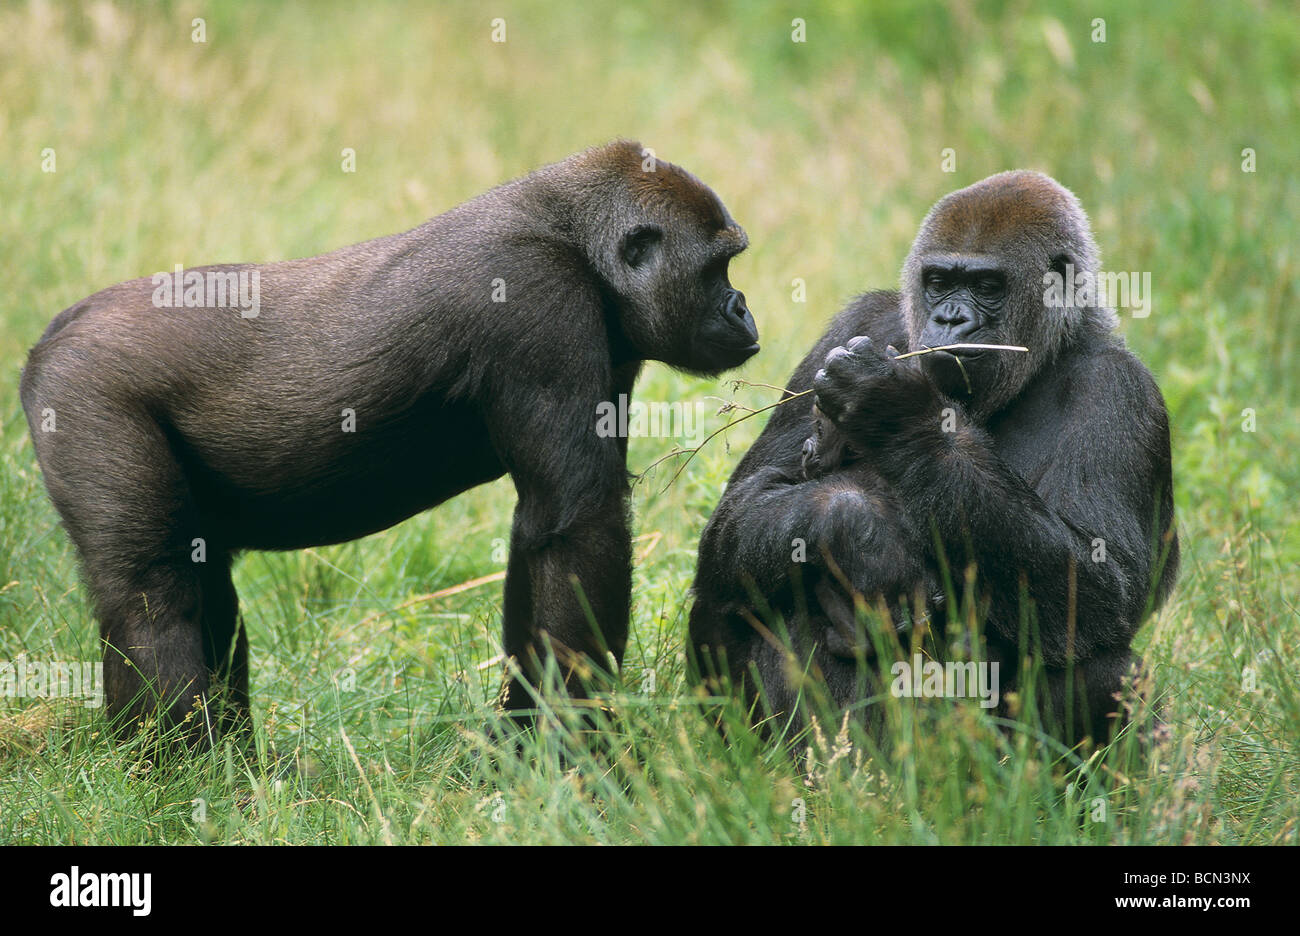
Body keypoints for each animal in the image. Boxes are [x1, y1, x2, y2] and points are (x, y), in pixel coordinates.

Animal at [20, 140, 756, 743]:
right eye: (718, 268)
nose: (743, 309)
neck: (574, 236)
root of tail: (56, 331)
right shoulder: (535, 294)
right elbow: (578, 523)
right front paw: (571, 750)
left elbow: (544, 534)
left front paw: (518, 741)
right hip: (82, 390)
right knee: (151, 592)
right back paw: (176, 779)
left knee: (201, 583)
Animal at [690, 170, 1177, 745]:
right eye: (939, 282)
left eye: (987, 287)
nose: (950, 318)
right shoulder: (857, 324)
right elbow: (747, 505)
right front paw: (860, 532)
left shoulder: (1121, 389)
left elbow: (1100, 587)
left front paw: (896, 411)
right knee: (733, 589)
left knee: (1102, 668)